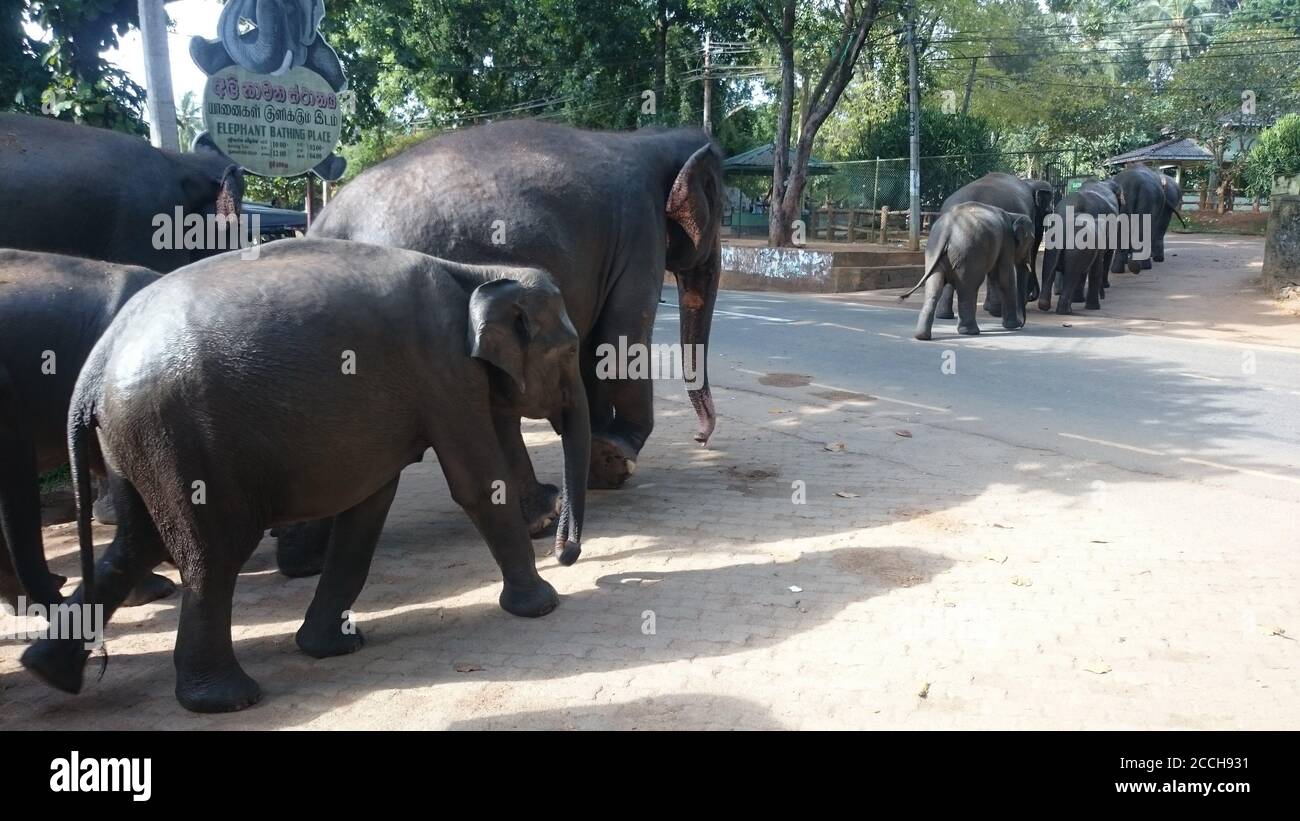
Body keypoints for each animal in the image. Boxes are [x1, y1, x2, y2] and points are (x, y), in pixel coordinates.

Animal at [21, 238, 590, 713]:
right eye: (569, 350)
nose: (565, 552)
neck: (477, 272)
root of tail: (96, 365)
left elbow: (369, 505)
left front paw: (331, 648)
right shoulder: (444, 370)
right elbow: (475, 483)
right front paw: (542, 606)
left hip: (136, 443)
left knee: (137, 542)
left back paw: (47, 674)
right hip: (178, 438)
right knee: (213, 553)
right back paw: (227, 700)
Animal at [901, 202, 1034, 340]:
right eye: (1031, 241)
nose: (1022, 323)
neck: (1012, 215)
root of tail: (946, 231)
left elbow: (995, 275)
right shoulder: (1007, 242)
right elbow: (1005, 277)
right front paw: (1013, 326)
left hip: (934, 252)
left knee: (935, 287)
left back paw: (922, 336)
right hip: (968, 253)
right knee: (968, 287)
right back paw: (970, 332)